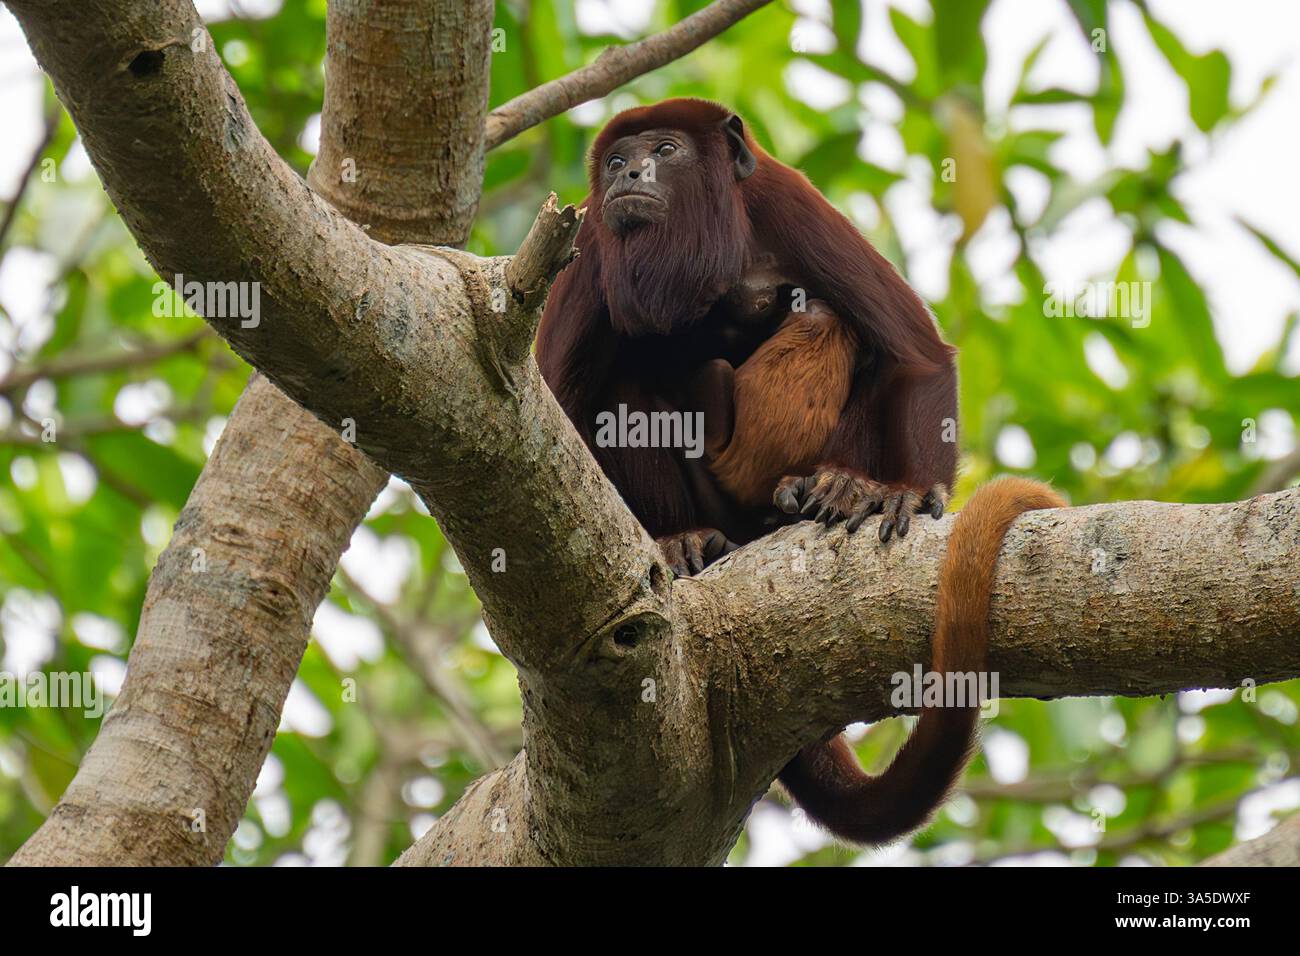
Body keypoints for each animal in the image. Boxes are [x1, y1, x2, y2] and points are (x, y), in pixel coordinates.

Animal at [536, 98, 1064, 846]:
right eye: (614, 161)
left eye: (665, 151)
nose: (631, 174)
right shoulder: (586, 243)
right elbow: (562, 407)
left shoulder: (787, 203)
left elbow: (916, 350)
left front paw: (902, 491)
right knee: (627, 384)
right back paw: (685, 535)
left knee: (835, 319)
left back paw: (827, 488)